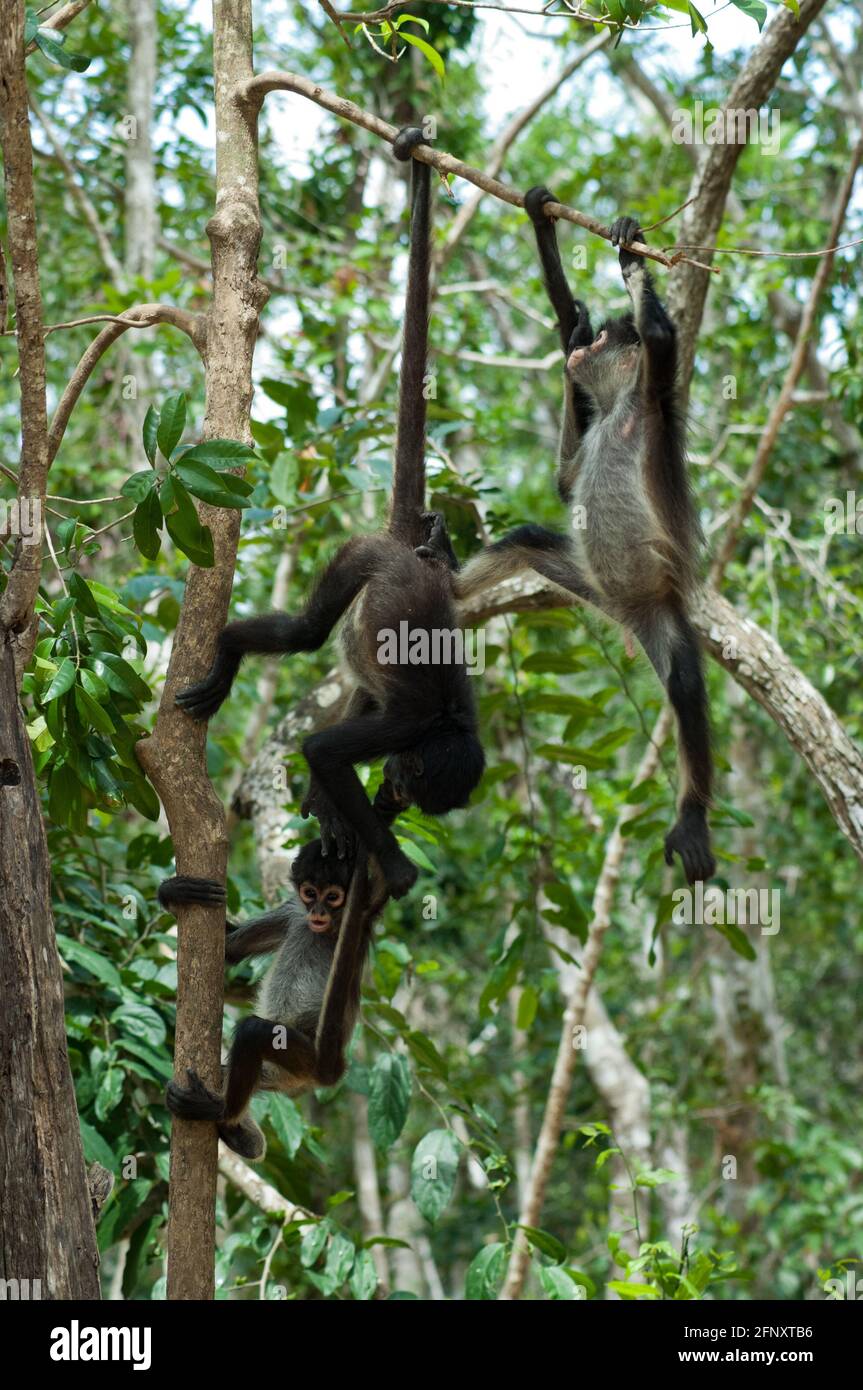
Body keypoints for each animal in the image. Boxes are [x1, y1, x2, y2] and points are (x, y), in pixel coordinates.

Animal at [158, 834, 391, 1161]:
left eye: (333, 897)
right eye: (310, 893)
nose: (318, 912)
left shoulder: (362, 914)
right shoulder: (293, 910)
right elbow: (230, 950)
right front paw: (173, 890)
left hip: (305, 1059)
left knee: (253, 1031)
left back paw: (219, 1112)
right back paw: (240, 1134)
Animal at [173, 127, 485, 900]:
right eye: (417, 782)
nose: (401, 790)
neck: (447, 723)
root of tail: (404, 549)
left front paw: (345, 818)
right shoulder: (402, 725)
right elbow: (322, 746)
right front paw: (395, 863)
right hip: (359, 554)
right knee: (307, 632)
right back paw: (229, 651)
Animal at [445, 191, 715, 884]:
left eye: (601, 343)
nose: (581, 346)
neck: (620, 410)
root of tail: (629, 612)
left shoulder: (654, 393)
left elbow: (661, 337)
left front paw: (629, 251)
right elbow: (566, 486)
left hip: (662, 612)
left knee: (683, 684)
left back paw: (693, 816)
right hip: (588, 583)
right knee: (525, 541)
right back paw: (444, 575)